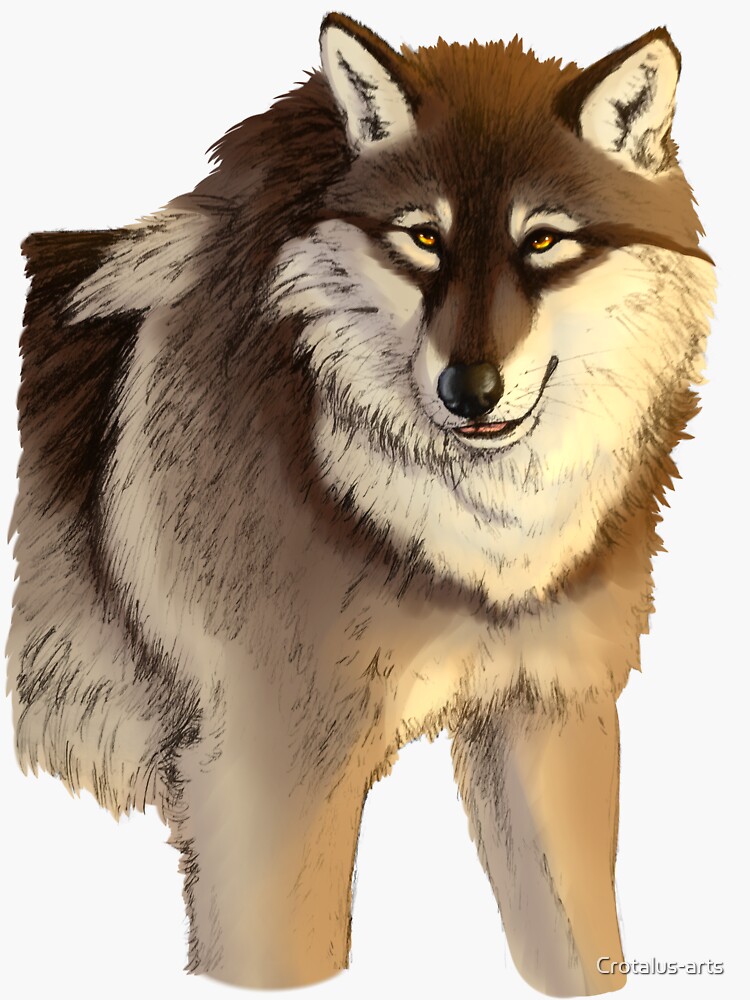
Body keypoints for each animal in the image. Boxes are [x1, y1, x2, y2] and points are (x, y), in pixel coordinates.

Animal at [7, 11, 714, 996]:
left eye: (543, 242)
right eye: (423, 239)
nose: (468, 389)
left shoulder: (551, 718)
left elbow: (586, 951)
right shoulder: (270, 784)